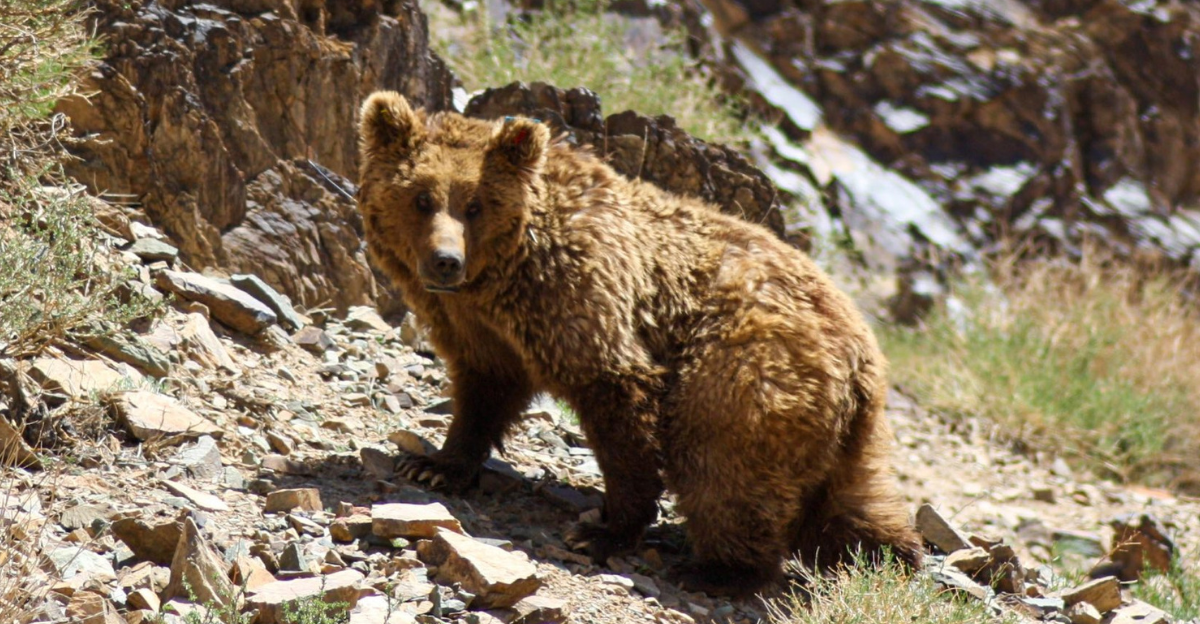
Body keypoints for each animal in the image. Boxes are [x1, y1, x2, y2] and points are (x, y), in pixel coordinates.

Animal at [355, 91, 922, 596]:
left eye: (474, 205)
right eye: (421, 197)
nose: (445, 262)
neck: (504, 276)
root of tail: (862, 356)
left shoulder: (581, 296)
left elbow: (618, 398)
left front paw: (605, 529)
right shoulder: (481, 327)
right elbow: (483, 390)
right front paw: (434, 464)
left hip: (744, 369)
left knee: (721, 464)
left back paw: (718, 570)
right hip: (847, 430)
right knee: (853, 498)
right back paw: (890, 556)